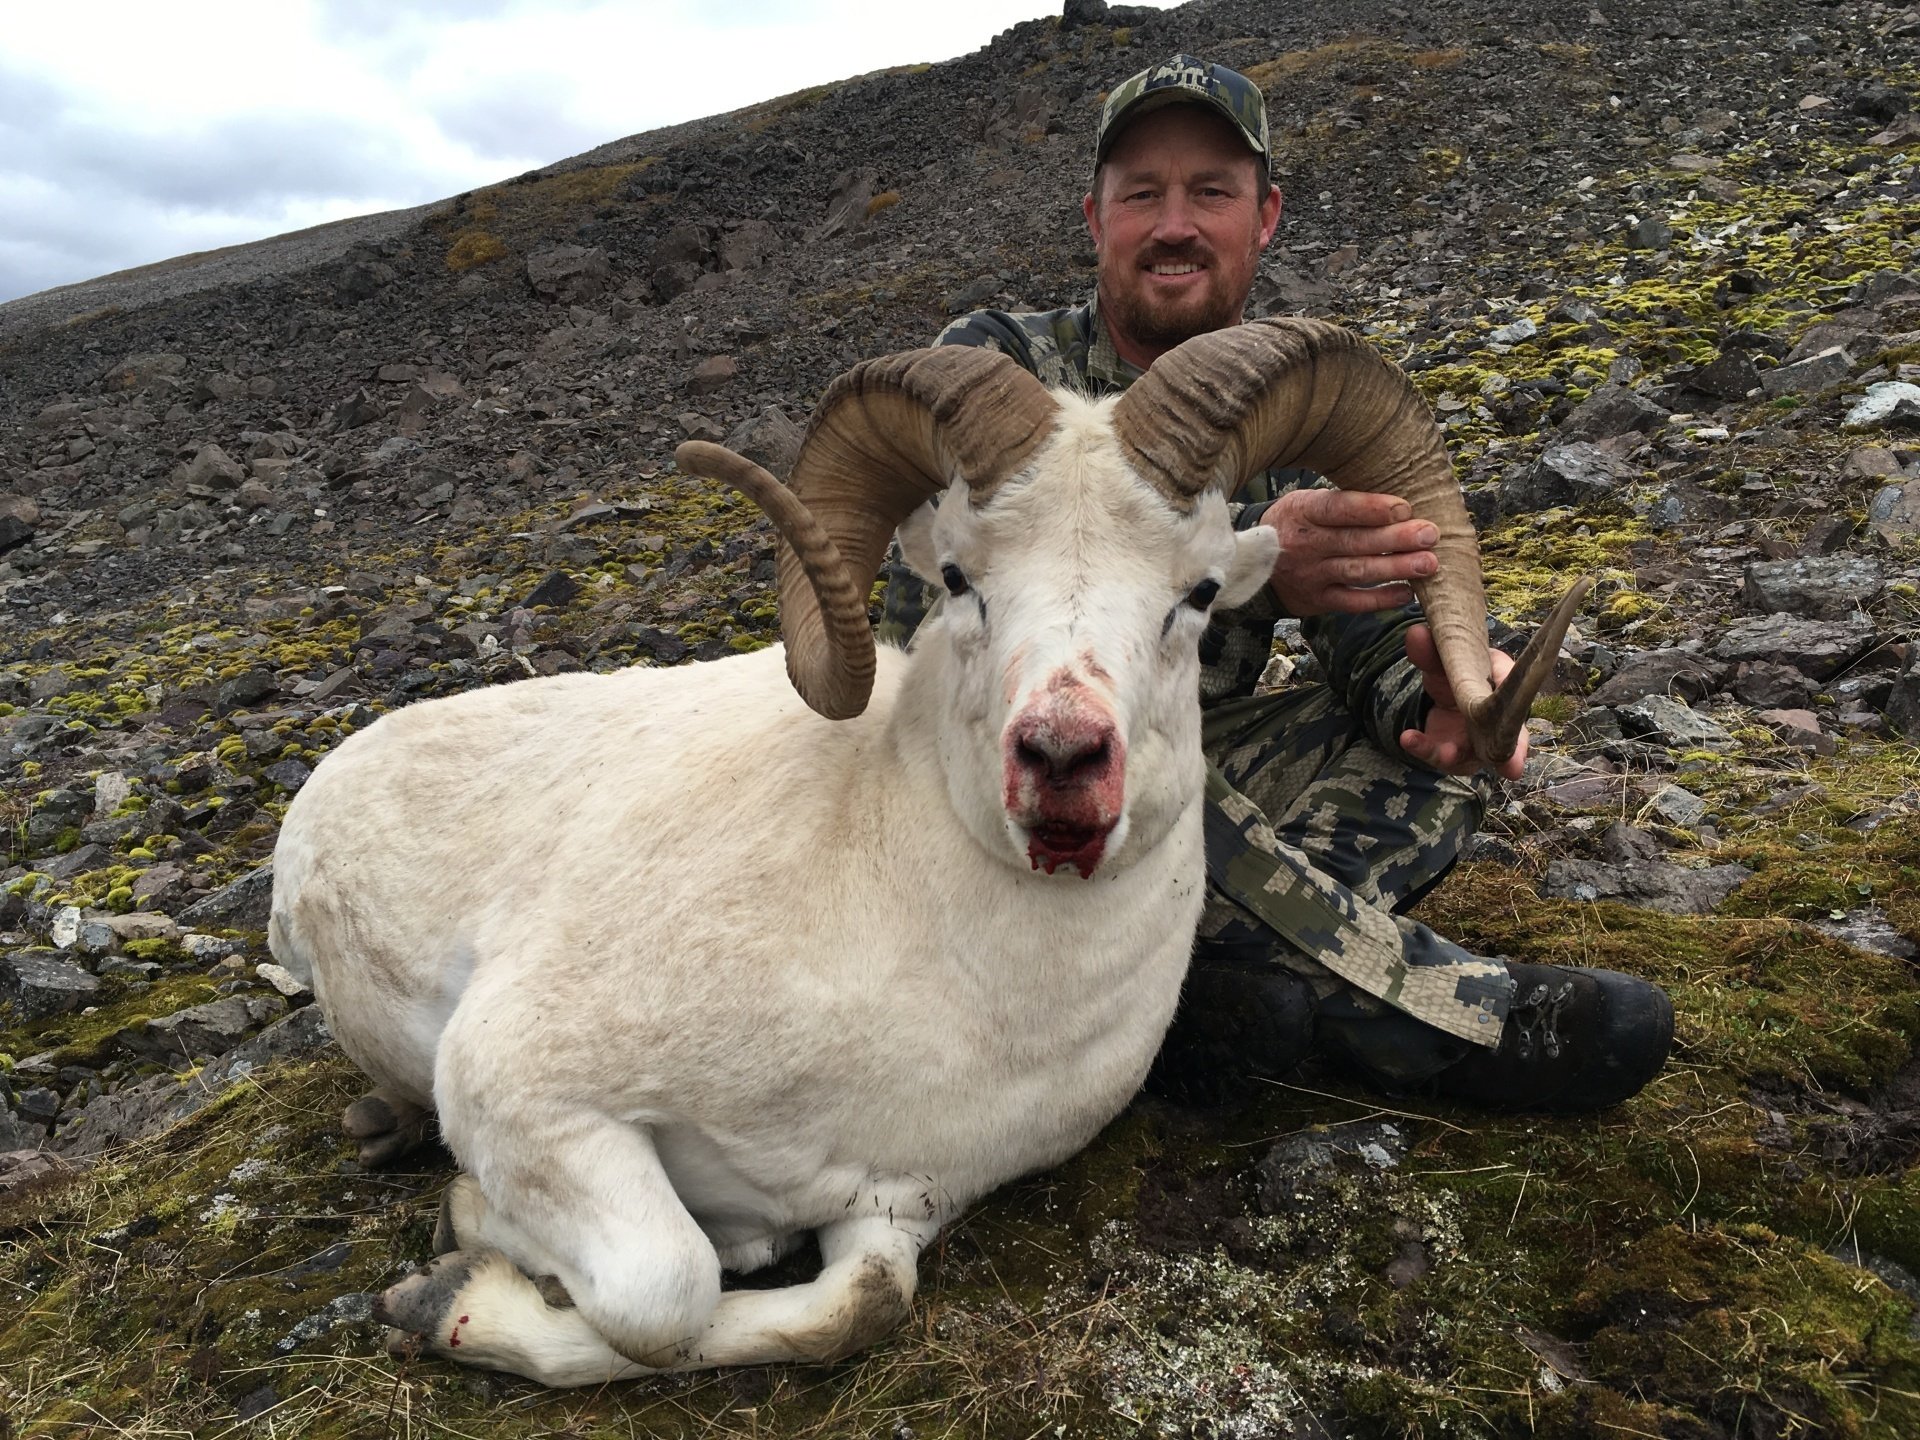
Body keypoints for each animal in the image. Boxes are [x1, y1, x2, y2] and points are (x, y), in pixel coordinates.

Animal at [267, 317, 1583, 1386]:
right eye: (960, 577)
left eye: (1200, 593)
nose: (1062, 757)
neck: (946, 981)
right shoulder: (519, 1085)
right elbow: (666, 1293)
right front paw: (459, 1263)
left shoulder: (895, 1206)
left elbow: (852, 1307)